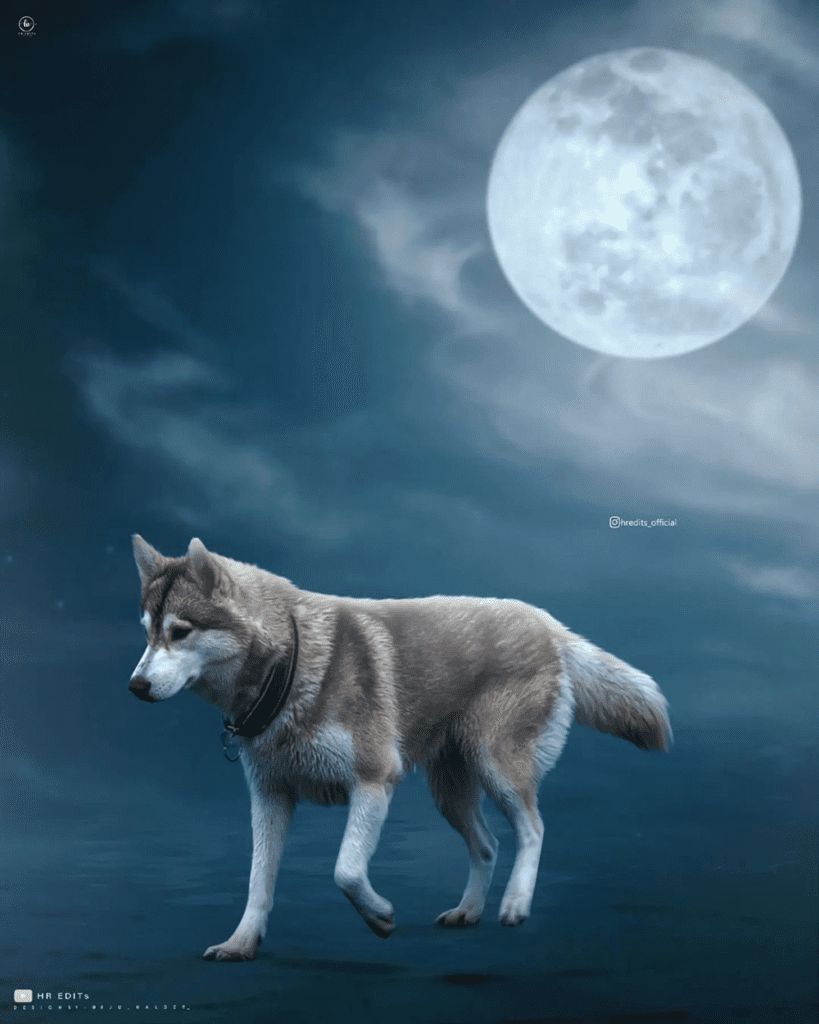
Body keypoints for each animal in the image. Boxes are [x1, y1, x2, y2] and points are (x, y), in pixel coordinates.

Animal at [129, 535, 672, 961]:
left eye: (180, 631)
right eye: (147, 633)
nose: (135, 686)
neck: (291, 665)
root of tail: (550, 624)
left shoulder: (375, 780)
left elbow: (346, 870)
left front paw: (380, 916)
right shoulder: (269, 799)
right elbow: (257, 882)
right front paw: (240, 944)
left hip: (497, 768)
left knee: (533, 829)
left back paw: (514, 906)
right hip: (449, 793)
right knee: (489, 845)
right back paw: (468, 912)